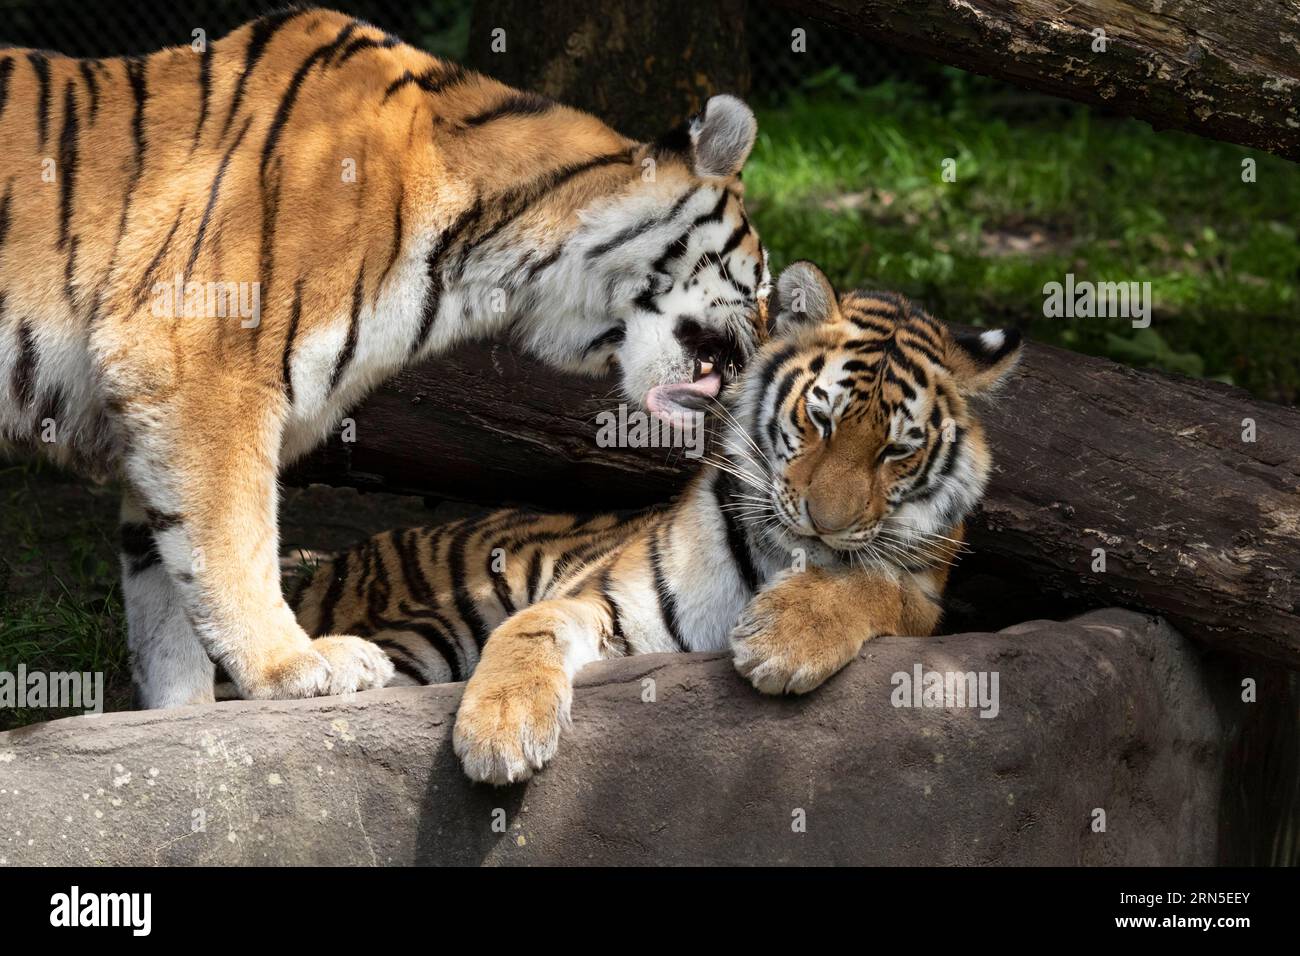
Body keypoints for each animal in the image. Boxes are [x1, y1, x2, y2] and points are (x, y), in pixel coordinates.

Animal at [0, 8, 769, 709]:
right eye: (760, 283)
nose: (769, 342)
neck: (491, 258)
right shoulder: (197, 361)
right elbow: (232, 543)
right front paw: (292, 665)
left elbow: (166, 592)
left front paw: (184, 719)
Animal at [290, 261, 1024, 784]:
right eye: (820, 419)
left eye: (895, 450)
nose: (824, 522)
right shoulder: (607, 596)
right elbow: (532, 628)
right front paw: (501, 730)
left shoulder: (926, 597)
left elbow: (870, 583)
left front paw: (784, 638)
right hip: (426, 630)